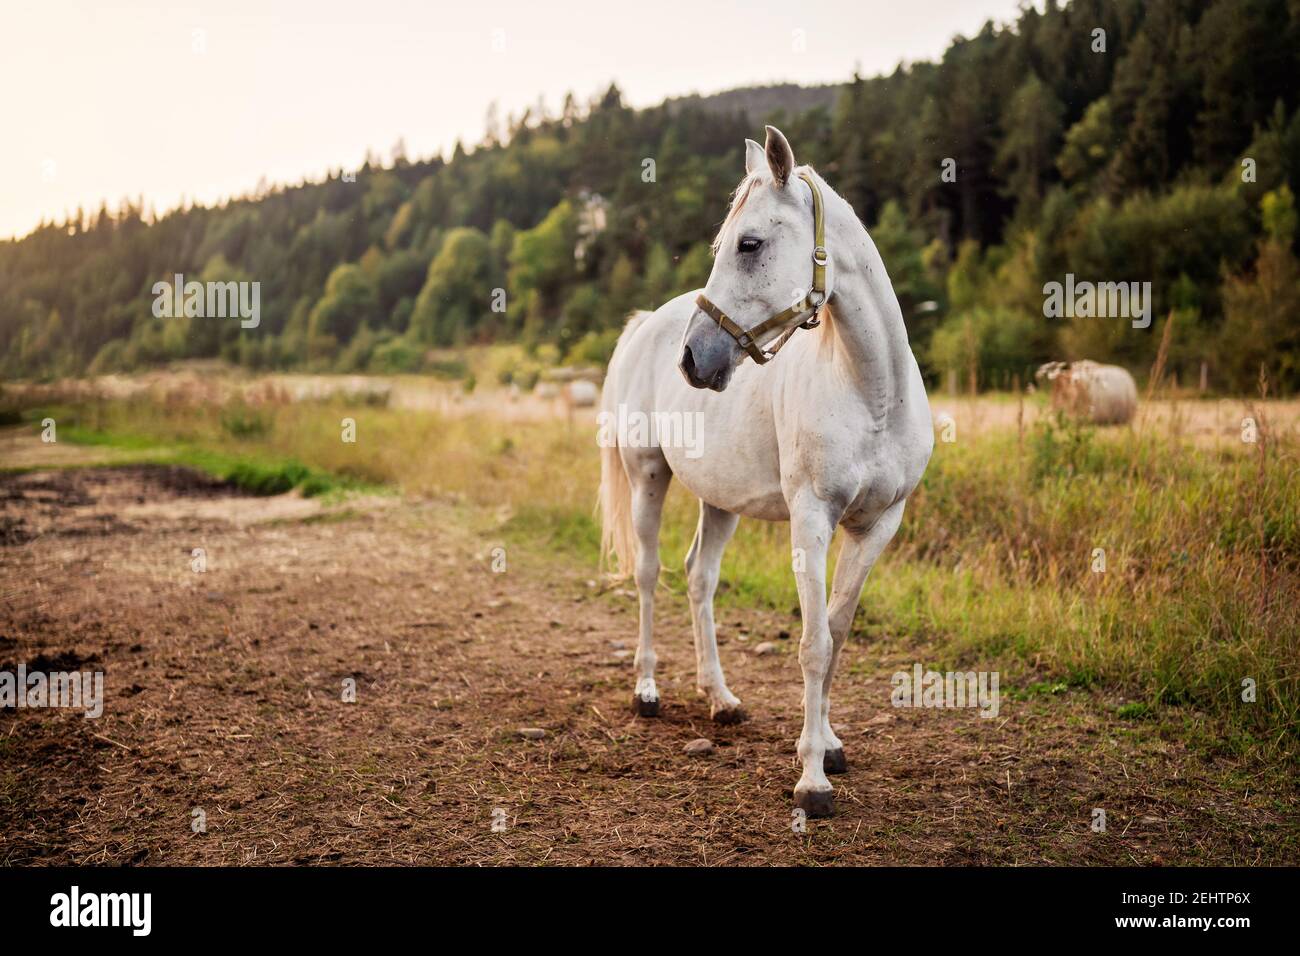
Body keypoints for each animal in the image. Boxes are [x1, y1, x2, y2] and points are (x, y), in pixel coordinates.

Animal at [597, 126, 933, 817]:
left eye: (749, 244)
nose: (694, 358)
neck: (872, 392)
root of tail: (647, 326)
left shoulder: (879, 525)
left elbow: (837, 633)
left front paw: (829, 746)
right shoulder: (811, 520)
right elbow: (813, 644)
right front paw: (812, 782)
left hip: (719, 499)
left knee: (699, 578)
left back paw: (720, 699)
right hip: (647, 478)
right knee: (648, 574)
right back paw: (647, 691)